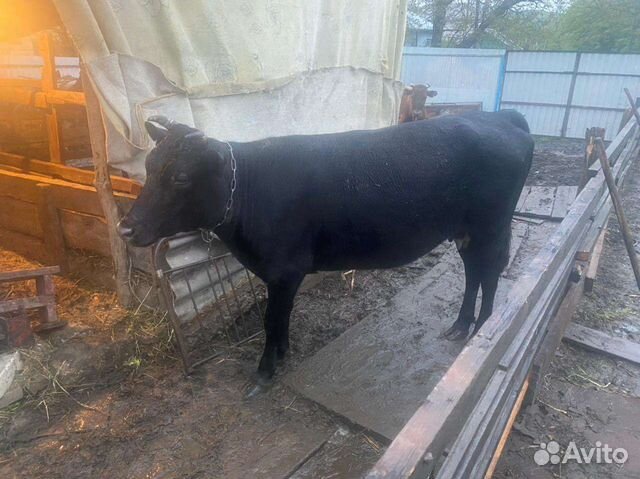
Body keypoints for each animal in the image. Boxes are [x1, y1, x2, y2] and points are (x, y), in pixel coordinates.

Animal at [118, 110, 533, 386]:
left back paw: (482, 329)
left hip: (491, 227)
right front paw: (282, 352)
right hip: (466, 232)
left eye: (180, 176)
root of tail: (499, 116)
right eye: (149, 166)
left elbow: (271, 319)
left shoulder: (285, 269)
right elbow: (279, 318)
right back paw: (461, 325)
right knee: (473, 272)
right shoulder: (281, 275)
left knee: (489, 273)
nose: (125, 227)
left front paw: (265, 371)